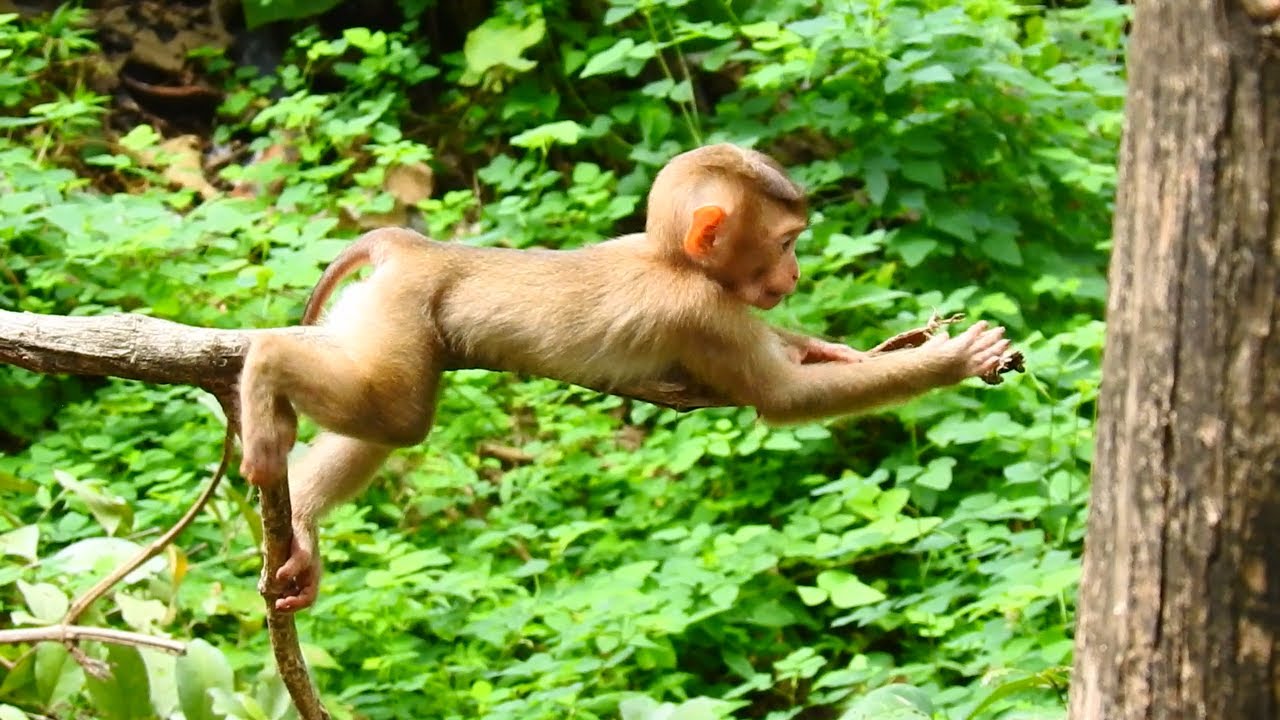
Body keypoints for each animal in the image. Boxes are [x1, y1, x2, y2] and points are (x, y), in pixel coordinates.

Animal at [238, 143, 1012, 612]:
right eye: (789, 242)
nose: (794, 275)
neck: (672, 260)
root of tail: (413, 245)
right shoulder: (702, 312)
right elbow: (780, 398)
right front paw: (950, 360)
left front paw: (844, 349)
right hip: (403, 306)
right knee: (400, 413)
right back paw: (266, 365)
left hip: (377, 313)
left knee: (386, 417)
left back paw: (301, 520)